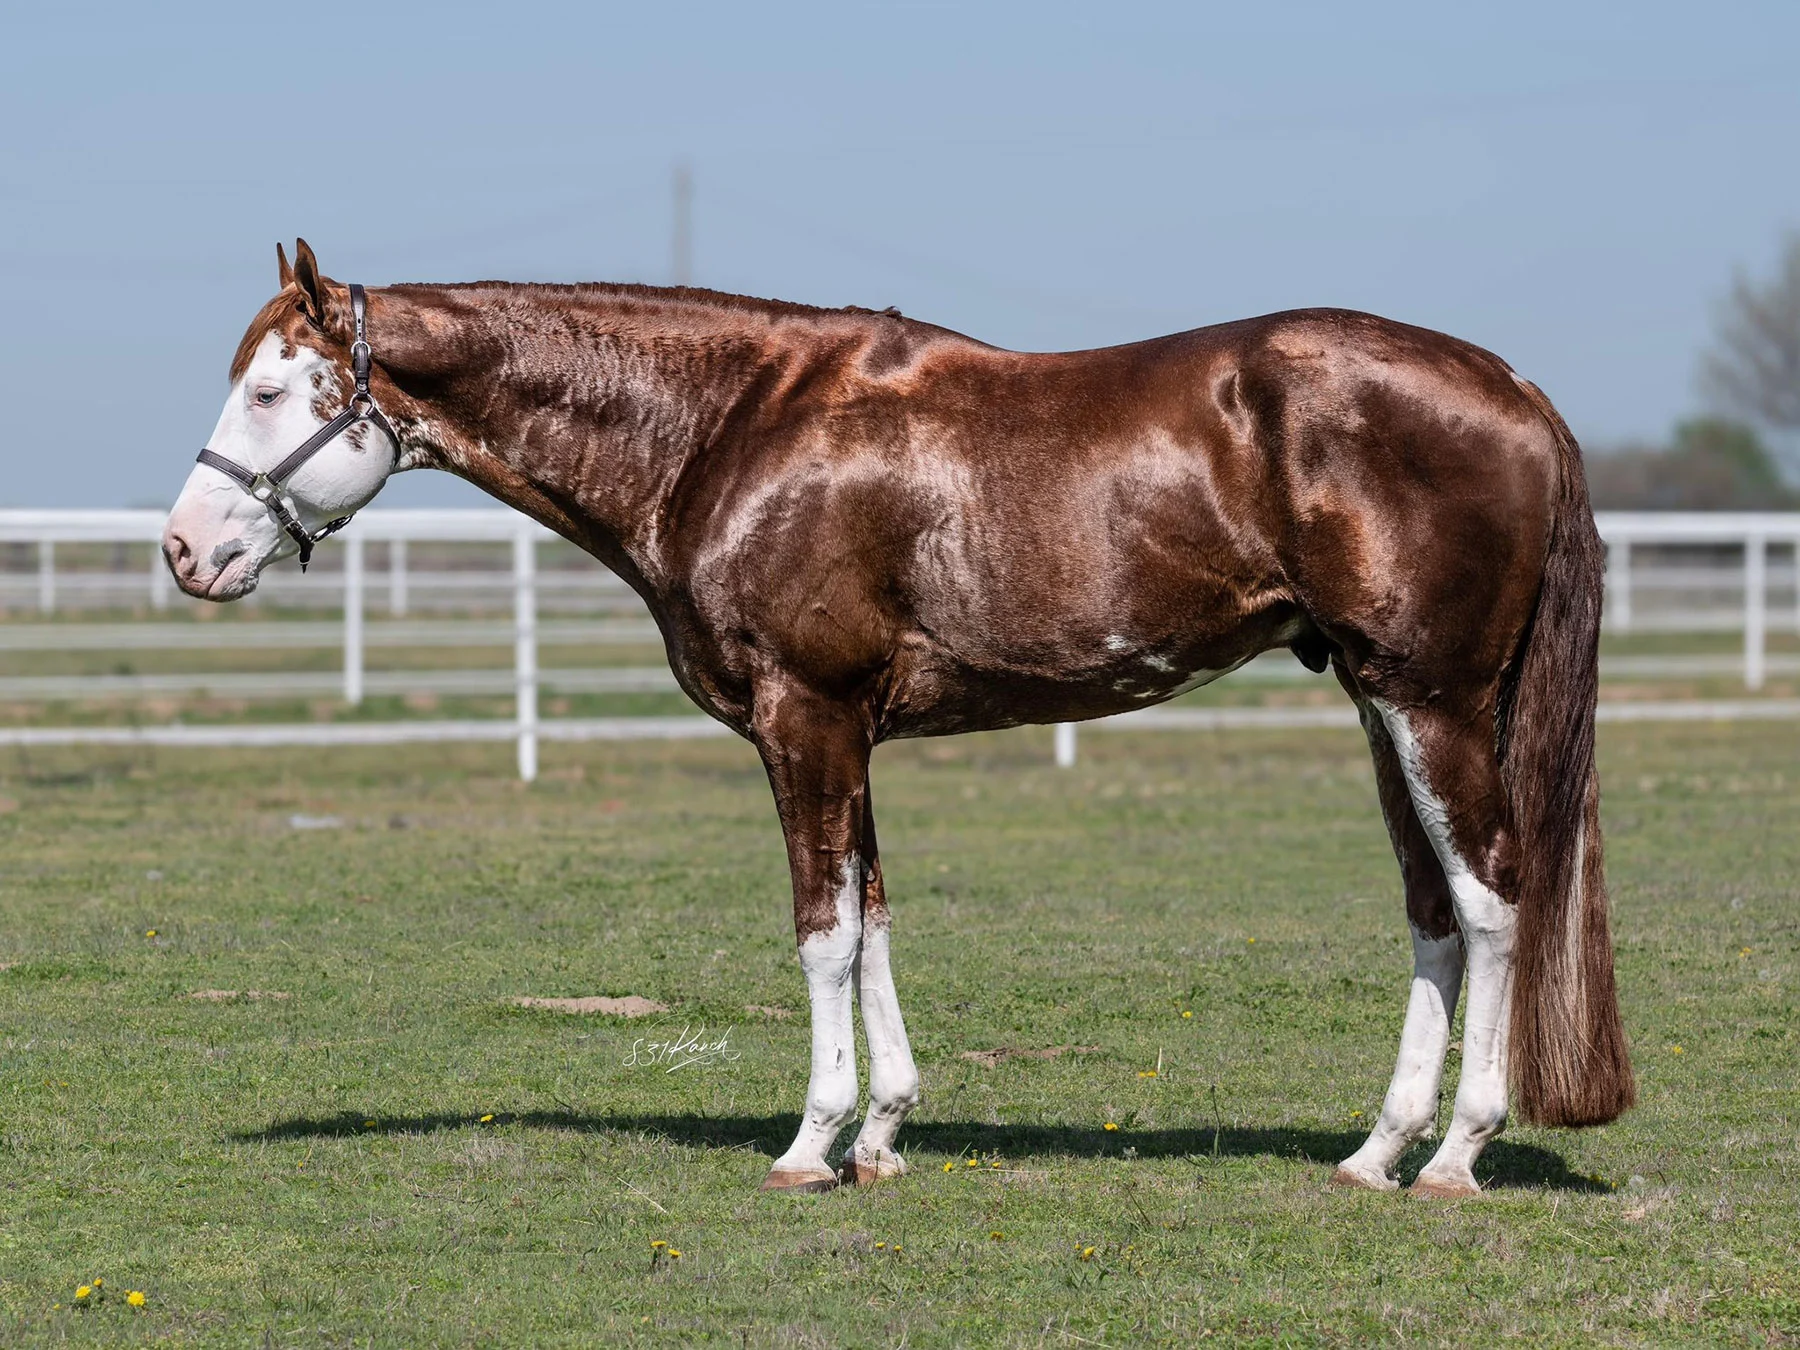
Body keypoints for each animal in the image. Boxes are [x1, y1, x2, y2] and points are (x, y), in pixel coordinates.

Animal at [163, 240, 1634, 1196]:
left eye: (274, 391)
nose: (186, 553)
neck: (731, 430)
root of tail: (1516, 390)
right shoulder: (847, 732)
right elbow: (870, 918)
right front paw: (881, 1132)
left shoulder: (802, 717)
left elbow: (820, 930)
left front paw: (810, 1145)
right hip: (1383, 709)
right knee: (1432, 910)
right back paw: (1377, 1151)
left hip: (1432, 704)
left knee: (1494, 901)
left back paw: (1456, 1156)